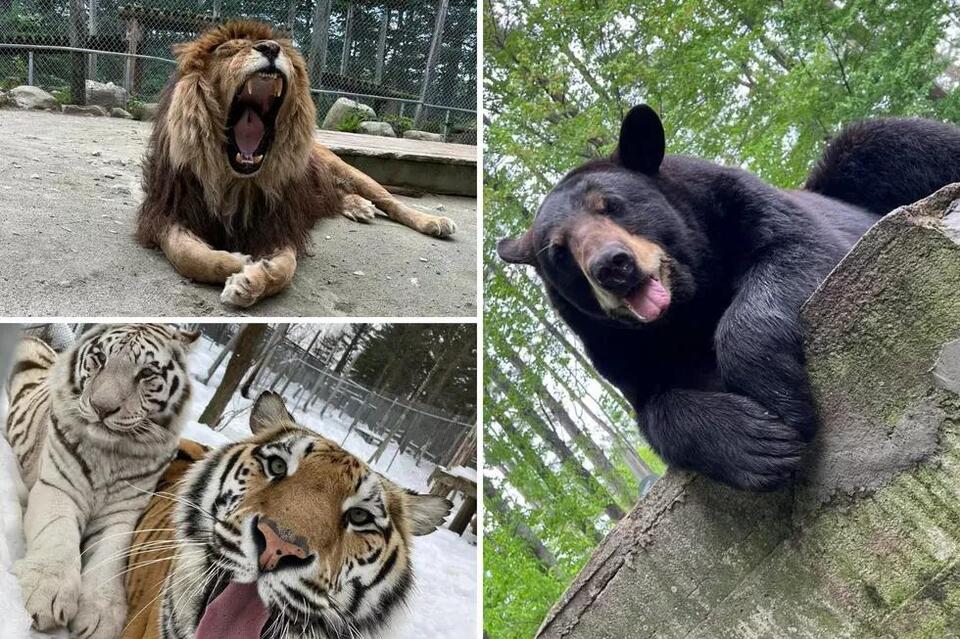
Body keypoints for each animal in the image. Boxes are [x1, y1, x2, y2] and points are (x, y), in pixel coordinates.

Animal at [5, 324, 198, 639]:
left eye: (146, 373)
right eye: (99, 358)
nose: (101, 408)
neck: (111, 453)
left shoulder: (123, 514)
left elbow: (111, 556)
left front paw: (101, 615)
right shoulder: (58, 487)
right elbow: (58, 534)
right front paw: (44, 593)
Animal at [136, 21, 458, 308]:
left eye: (284, 52)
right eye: (229, 49)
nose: (270, 47)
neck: (235, 181)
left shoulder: (279, 224)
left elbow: (285, 269)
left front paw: (250, 280)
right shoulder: (166, 212)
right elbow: (187, 255)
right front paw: (237, 261)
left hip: (351, 172)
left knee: (391, 202)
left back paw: (432, 222)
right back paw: (358, 206)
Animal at [497, 104, 960, 491]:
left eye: (610, 205)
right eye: (559, 252)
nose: (612, 265)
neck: (688, 308)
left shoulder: (736, 204)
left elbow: (794, 249)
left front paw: (777, 393)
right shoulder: (619, 352)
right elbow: (655, 406)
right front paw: (757, 446)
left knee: (898, 139)